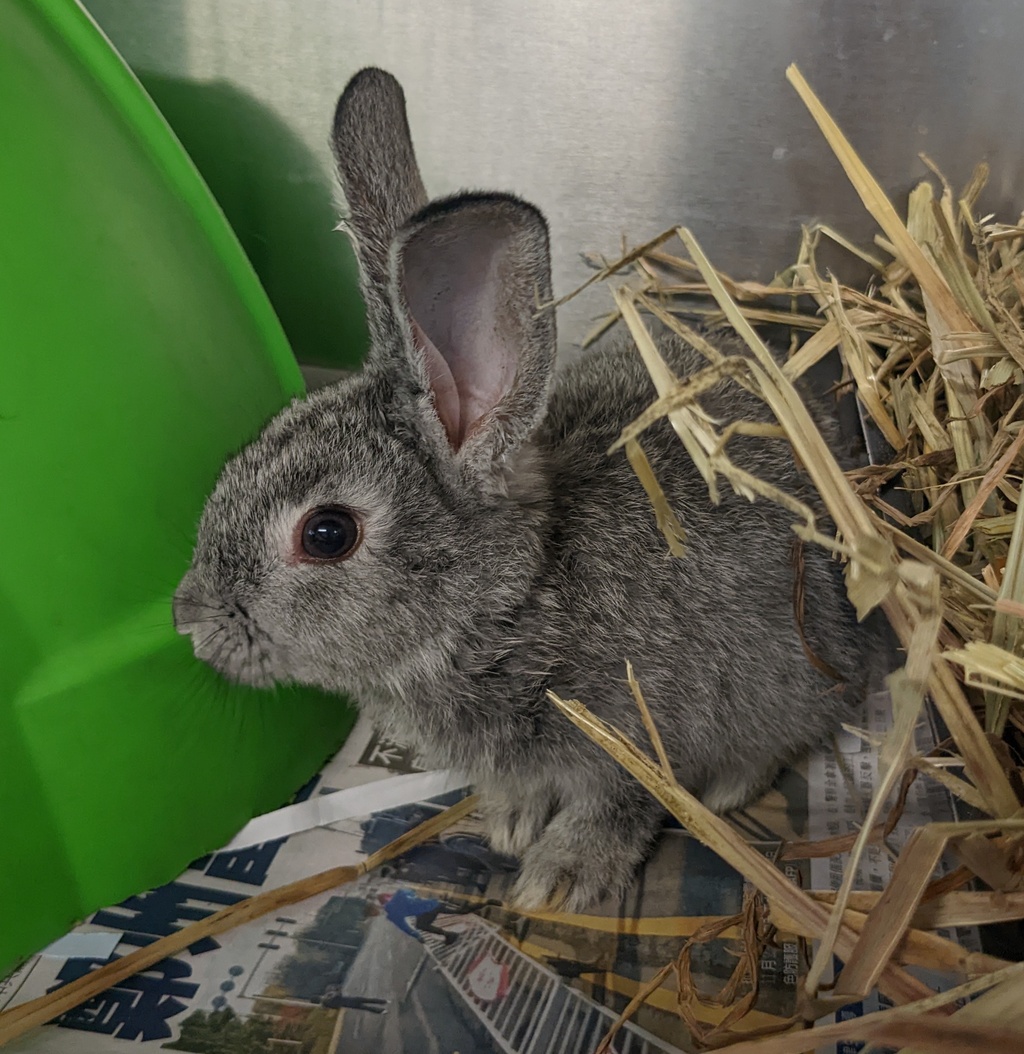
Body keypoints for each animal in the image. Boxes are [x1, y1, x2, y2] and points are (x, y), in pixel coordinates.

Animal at [174, 67, 889, 913]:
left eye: (327, 534)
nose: (190, 621)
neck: (514, 598)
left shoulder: (641, 736)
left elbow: (618, 805)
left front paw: (560, 878)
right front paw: (510, 823)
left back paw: (731, 788)